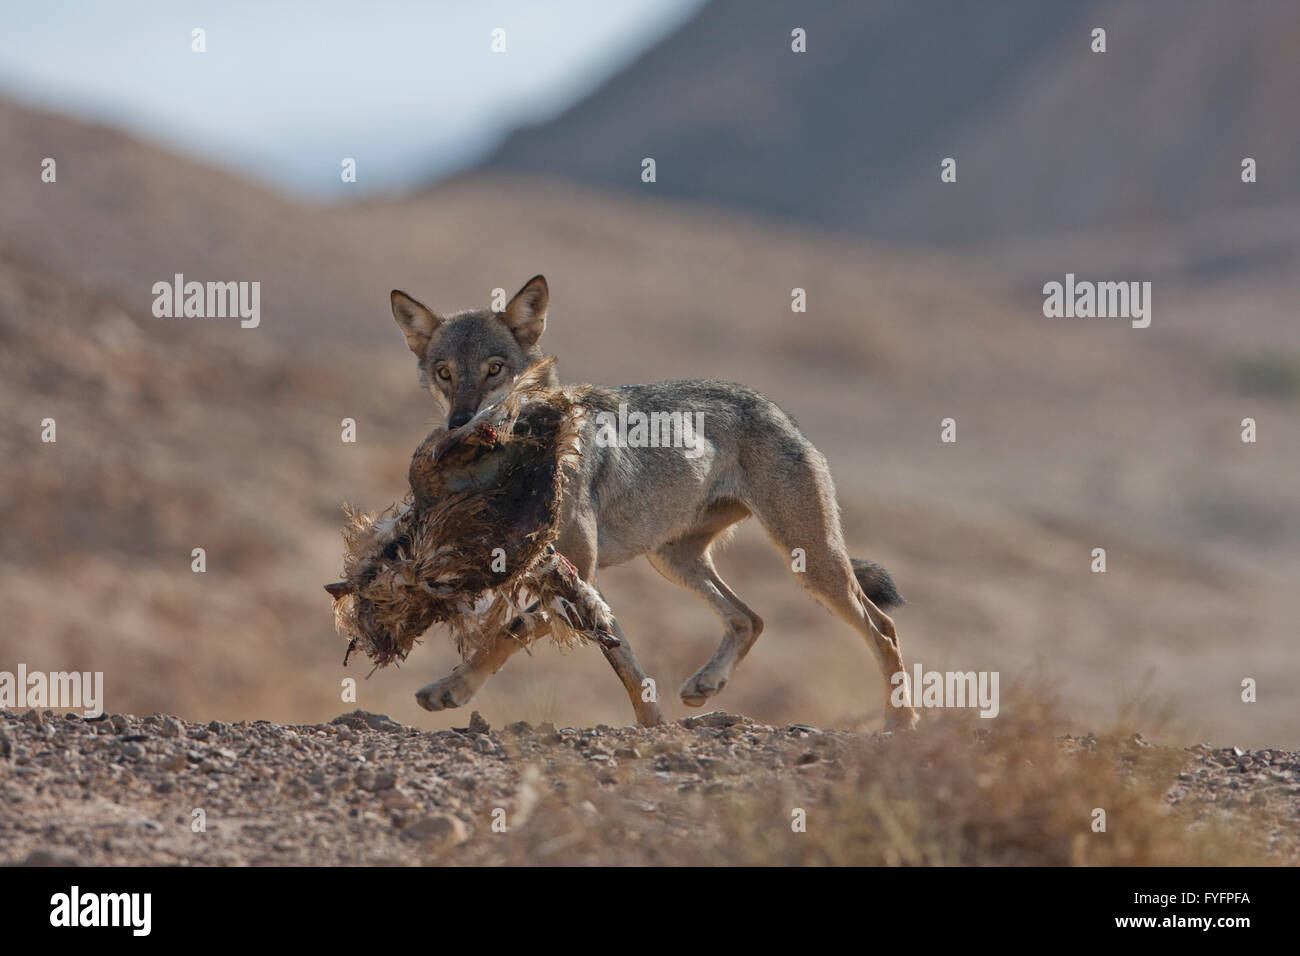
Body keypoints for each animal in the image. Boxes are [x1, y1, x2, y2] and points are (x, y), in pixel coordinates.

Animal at [389, 276, 918, 730]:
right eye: (444, 374)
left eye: (494, 370)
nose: (460, 423)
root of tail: (775, 408)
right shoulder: (574, 578)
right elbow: (618, 658)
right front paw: (652, 723)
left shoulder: (580, 570)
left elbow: (512, 630)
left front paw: (453, 689)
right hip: (673, 560)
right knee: (749, 618)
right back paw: (706, 684)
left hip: (810, 564)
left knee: (883, 628)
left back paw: (900, 723)